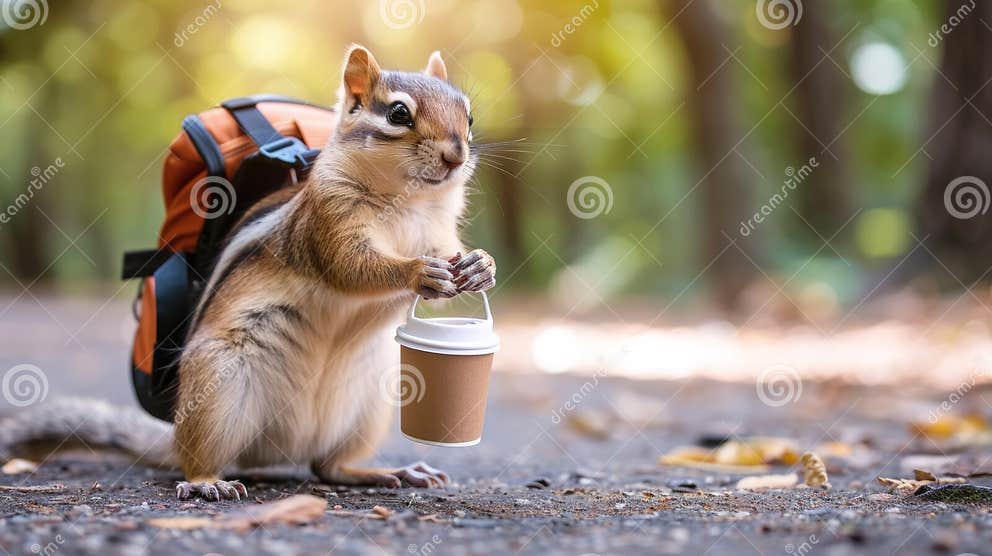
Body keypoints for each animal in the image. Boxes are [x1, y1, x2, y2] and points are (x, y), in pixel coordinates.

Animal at [0, 45, 496, 502]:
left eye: (469, 118)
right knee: (202, 458)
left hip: (371, 405)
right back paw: (207, 482)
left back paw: (383, 472)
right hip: (218, 385)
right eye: (398, 113)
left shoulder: (439, 233)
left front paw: (481, 266)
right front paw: (416, 272)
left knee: (328, 466)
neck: (407, 202)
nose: (456, 155)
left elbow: (449, 261)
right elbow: (351, 267)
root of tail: (281, 449)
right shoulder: (325, 224)